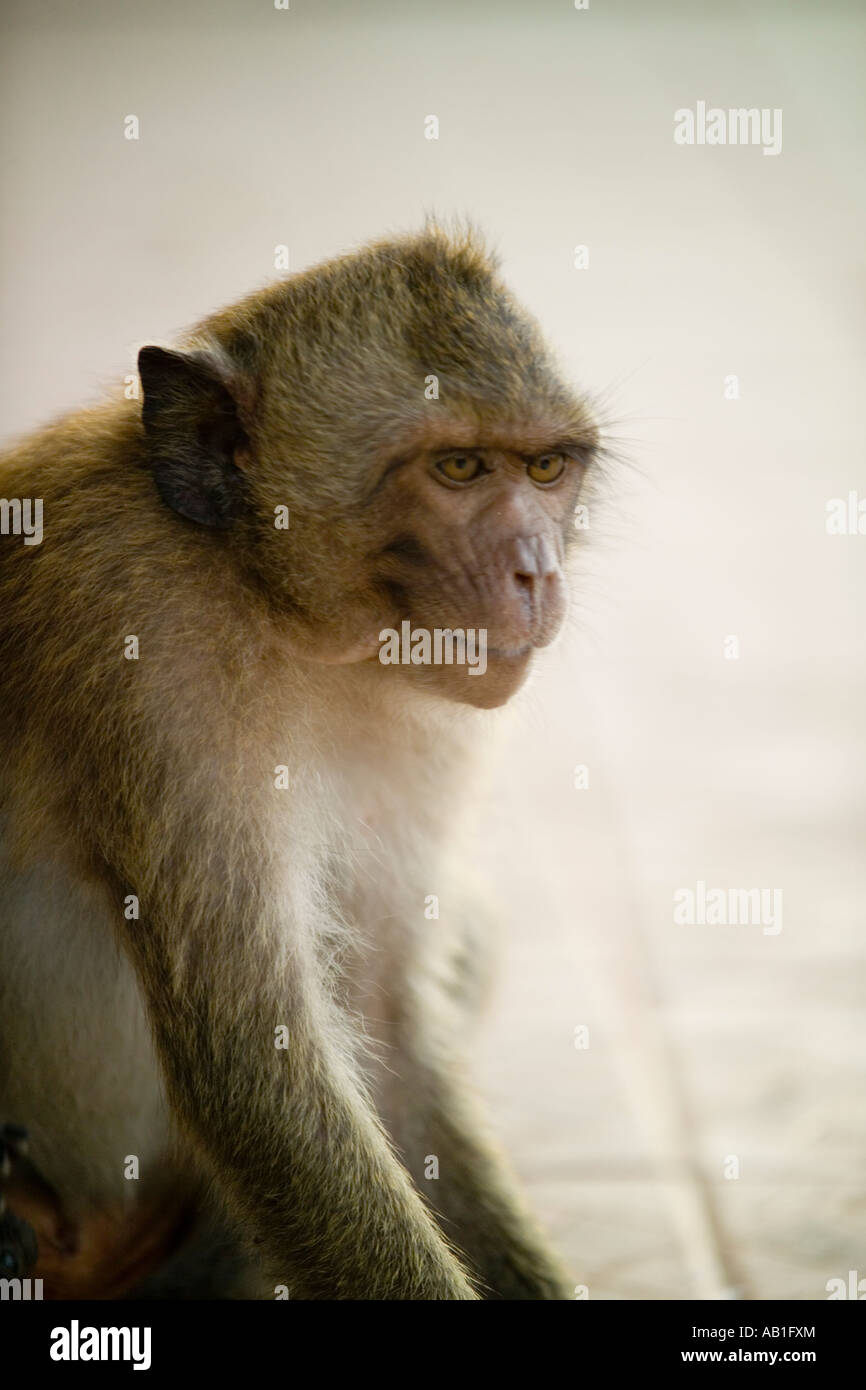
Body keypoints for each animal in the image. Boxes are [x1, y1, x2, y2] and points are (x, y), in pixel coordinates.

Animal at [0, 225, 599, 1300]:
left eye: (545, 469)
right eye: (458, 466)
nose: (538, 569)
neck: (274, 606)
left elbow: (386, 1029)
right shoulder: (152, 655)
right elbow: (254, 1061)